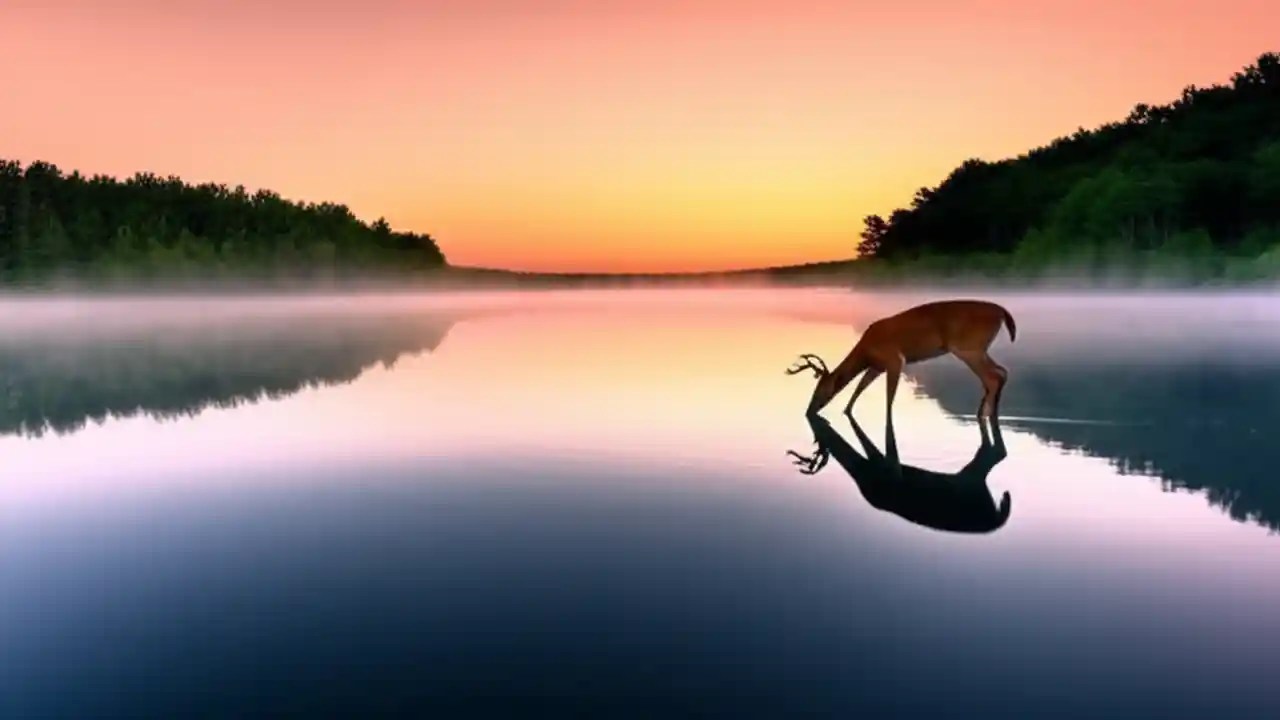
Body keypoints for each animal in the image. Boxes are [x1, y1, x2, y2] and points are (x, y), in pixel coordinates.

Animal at [786, 300, 1016, 419]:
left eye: (820, 390)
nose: (808, 412)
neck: (866, 350)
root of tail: (1002, 312)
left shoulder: (894, 360)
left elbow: (890, 395)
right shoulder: (877, 366)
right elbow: (861, 386)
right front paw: (847, 410)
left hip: (969, 348)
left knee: (992, 377)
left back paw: (982, 415)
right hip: (978, 349)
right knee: (1002, 372)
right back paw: (991, 414)